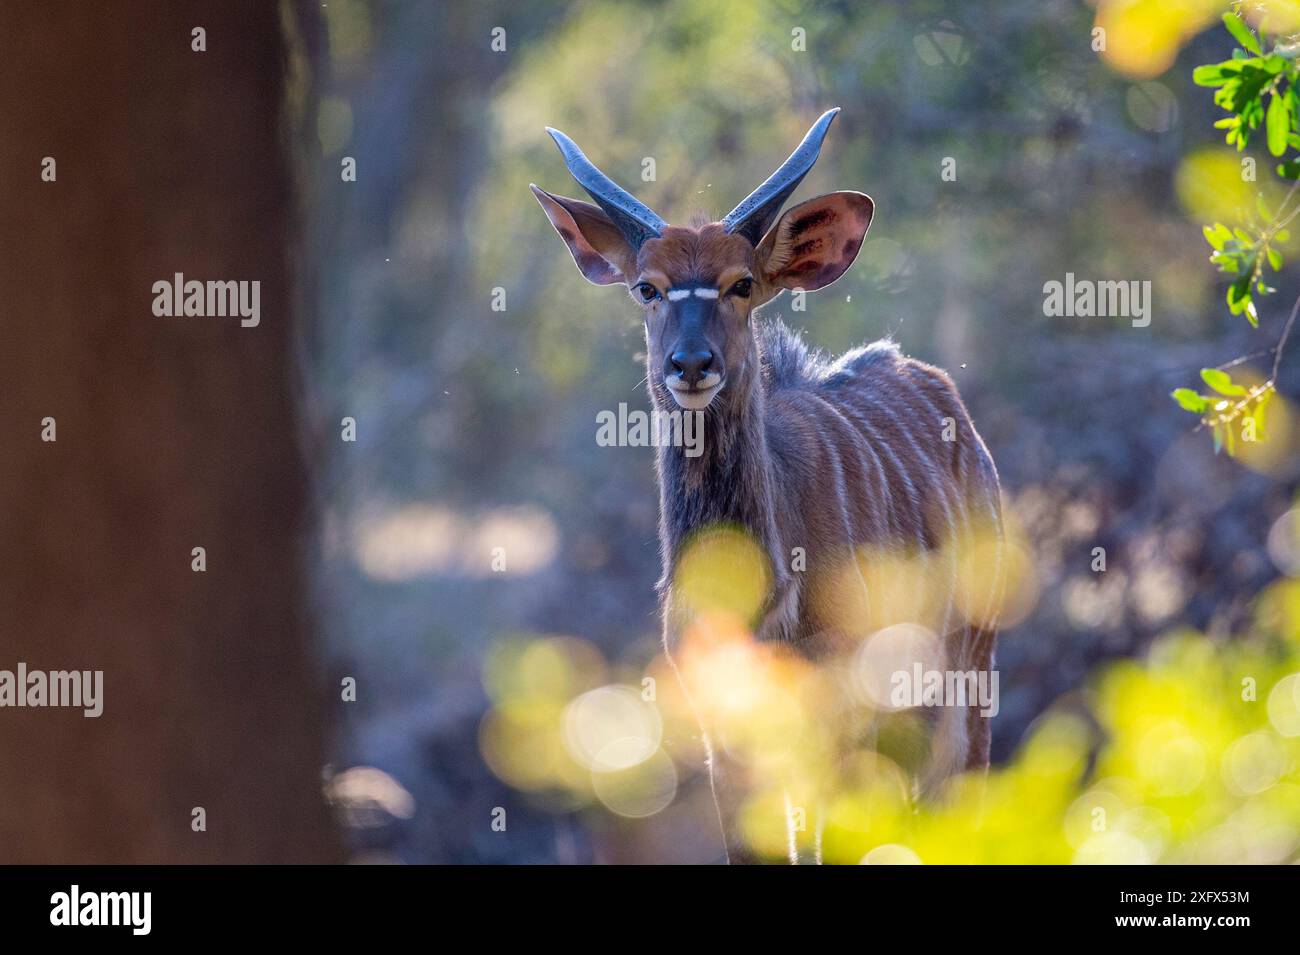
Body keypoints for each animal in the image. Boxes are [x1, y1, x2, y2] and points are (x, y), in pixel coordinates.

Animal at [532, 109, 1004, 864]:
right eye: (647, 287)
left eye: (741, 284)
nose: (690, 364)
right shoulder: (725, 730)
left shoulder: (843, 720)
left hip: (965, 681)